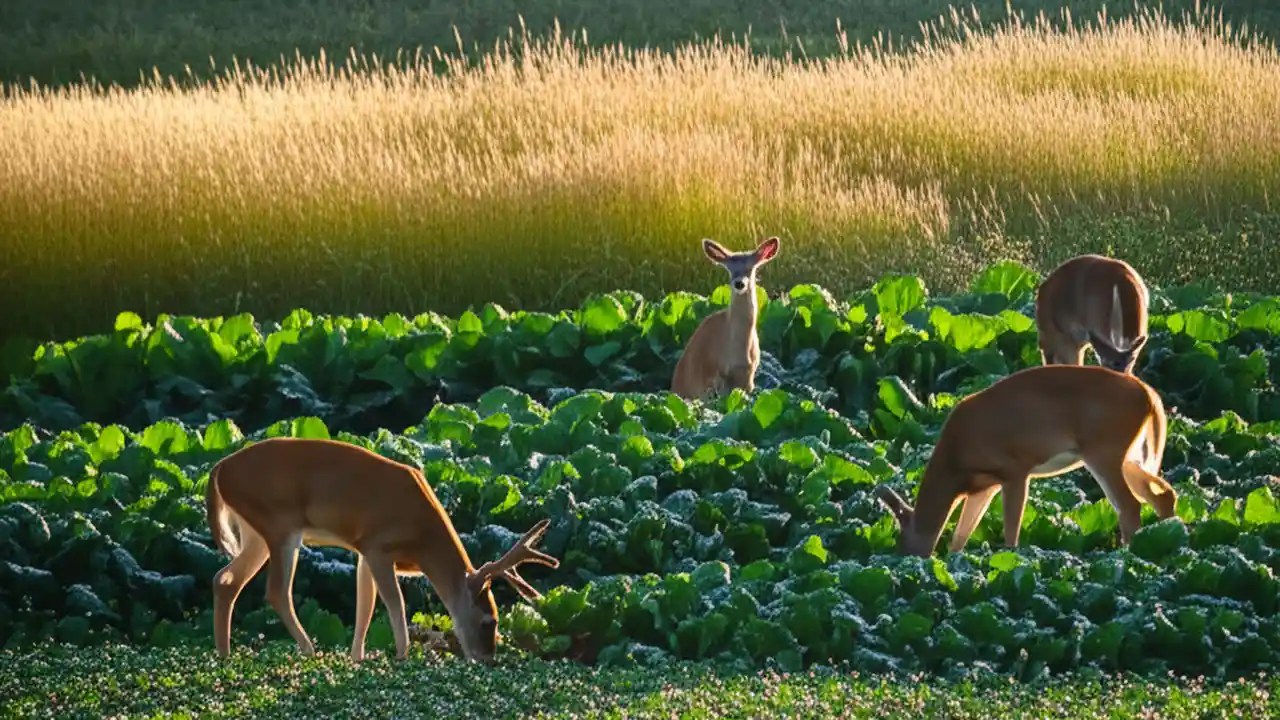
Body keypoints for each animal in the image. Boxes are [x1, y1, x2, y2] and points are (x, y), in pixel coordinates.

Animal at [205, 437, 559, 663]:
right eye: (490, 621)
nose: (487, 659)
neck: (422, 542)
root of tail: (218, 468)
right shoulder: (377, 545)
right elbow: (394, 603)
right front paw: (402, 655)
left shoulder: (364, 551)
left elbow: (366, 604)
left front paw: (357, 658)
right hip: (279, 524)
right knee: (276, 590)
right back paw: (308, 650)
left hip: (254, 532)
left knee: (225, 579)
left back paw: (224, 654)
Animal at [875, 364, 1177, 557]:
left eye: (901, 540)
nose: (909, 559)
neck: (955, 460)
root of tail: (1149, 394)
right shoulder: (984, 485)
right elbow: (961, 535)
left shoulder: (1015, 469)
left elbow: (1011, 530)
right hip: (1129, 455)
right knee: (1163, 494)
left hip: (1105, 452)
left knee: (1130, 505)